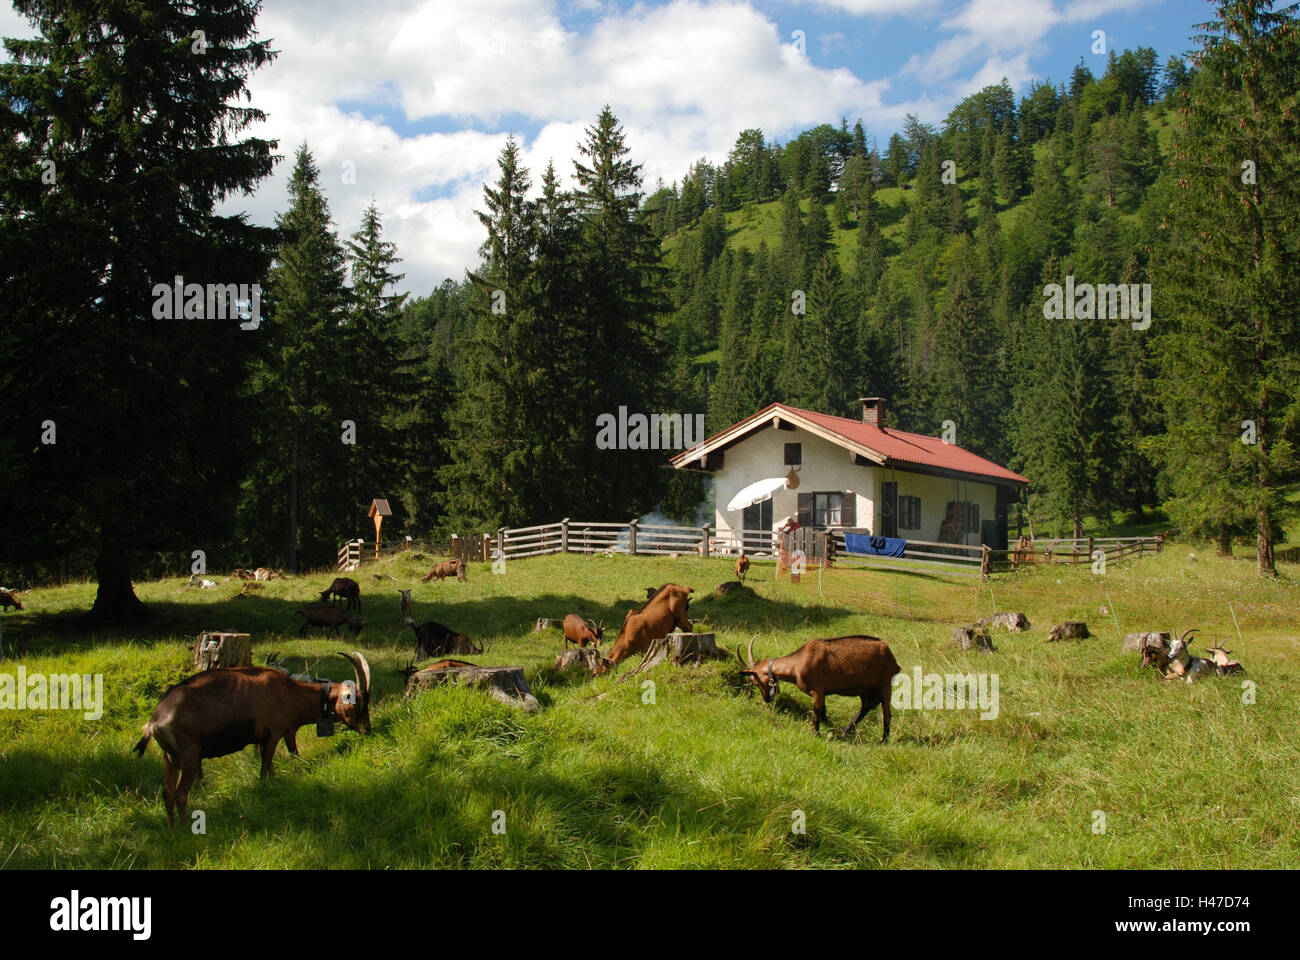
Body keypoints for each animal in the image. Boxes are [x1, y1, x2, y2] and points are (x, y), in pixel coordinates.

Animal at [133, 652, 372, 827]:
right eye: (356, 703)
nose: (367, 730)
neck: (290, 692)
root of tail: (155, 722)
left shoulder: (262, 739)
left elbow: (272, 765)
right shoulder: (275, 733)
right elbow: (267, 768)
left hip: (169, 758)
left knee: (167, 792)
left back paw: (172, 828)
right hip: (189, 753)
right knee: (180, 793)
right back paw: (185, 828)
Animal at [736, 634, 900, 740]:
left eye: (755, 681)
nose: (766, 699)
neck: (798, 663)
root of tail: (890, 655)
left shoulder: (818, 690)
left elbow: (816, 712)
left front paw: (816, 734)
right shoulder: (822, 692)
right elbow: (823, 710)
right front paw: (827, 726)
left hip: (886, 684)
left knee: (886, 713)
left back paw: (883, 740)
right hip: (865, 688)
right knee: (867, 706)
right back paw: (845, 732)